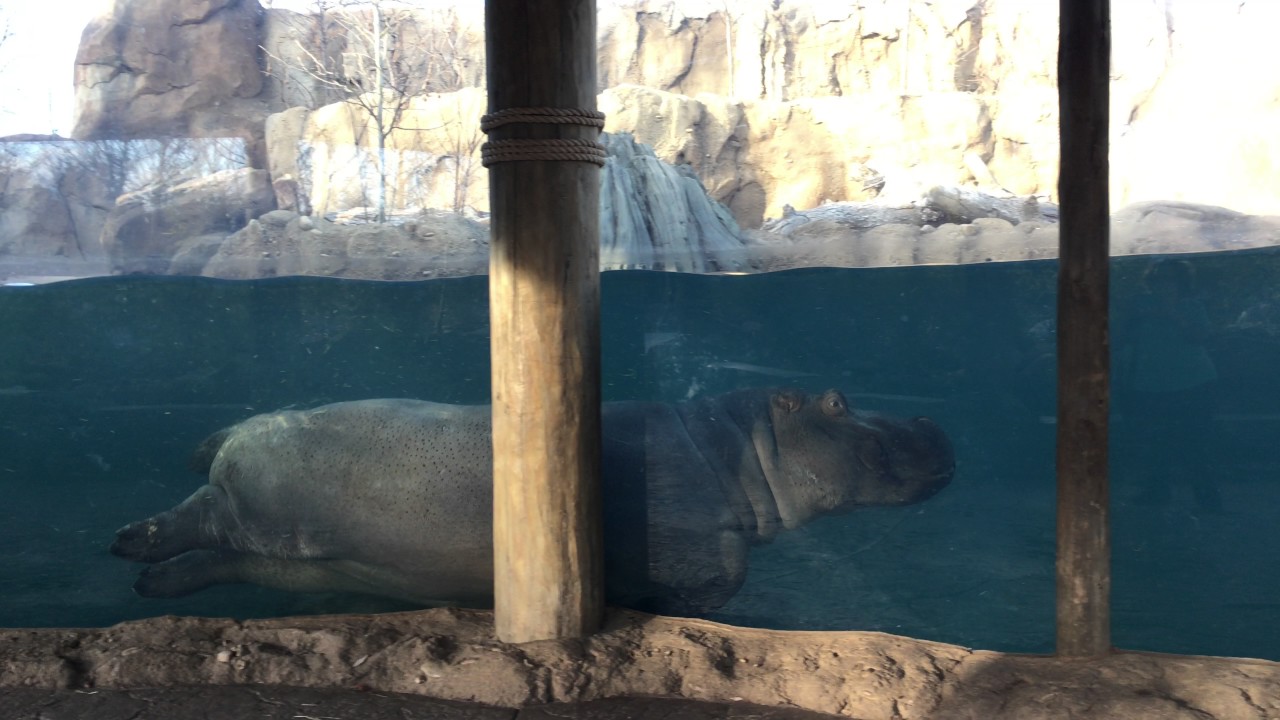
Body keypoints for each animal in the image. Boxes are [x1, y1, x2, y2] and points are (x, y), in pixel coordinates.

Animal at [111, 388, 954, 616]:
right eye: (836, 402)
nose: (928, 422)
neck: (737, 439)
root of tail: (235, 429)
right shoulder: (699, 536)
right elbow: (722, 570)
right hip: (252, 509)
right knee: (189, 516)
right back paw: (128, 540)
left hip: (273, 553)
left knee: (203, 559)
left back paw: (147, 579)